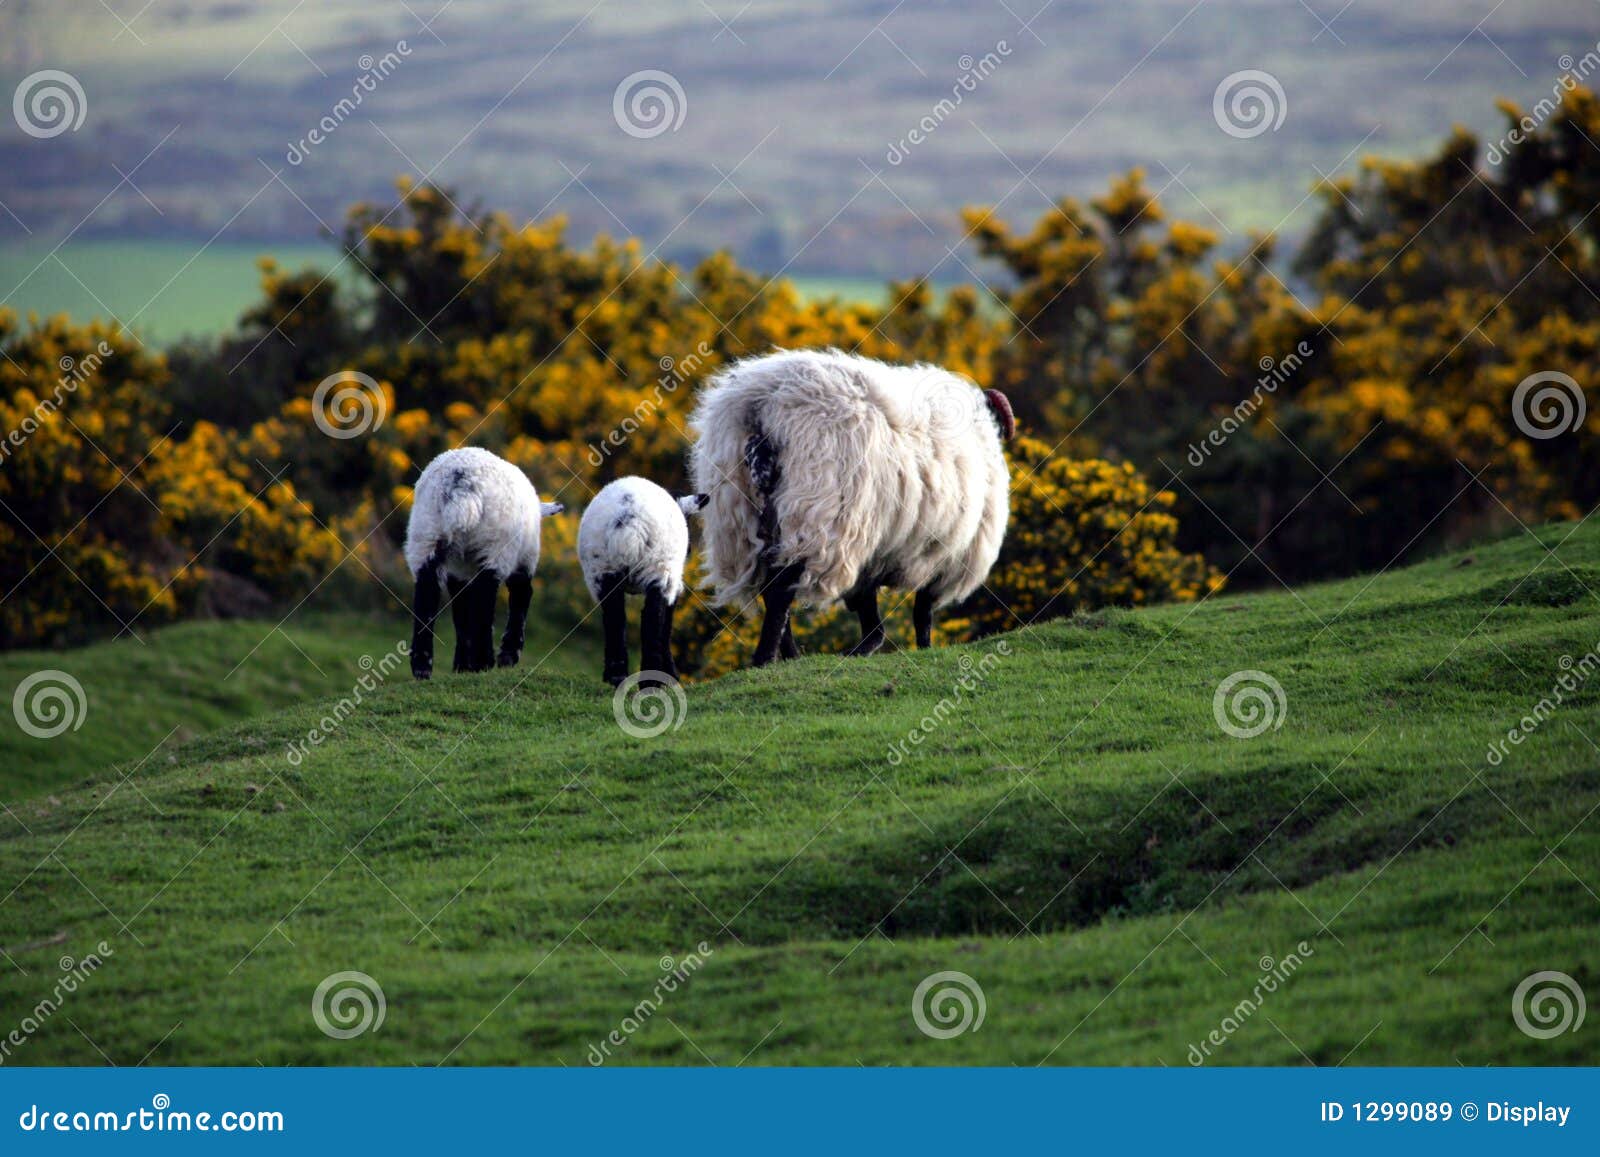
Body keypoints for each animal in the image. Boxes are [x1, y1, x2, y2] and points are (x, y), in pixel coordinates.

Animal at [404, 446, 563, 679]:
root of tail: (462, 485)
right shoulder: (524, 559)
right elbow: (521, 595)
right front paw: (508, 654)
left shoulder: (458, 571)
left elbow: (461, 611)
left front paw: (461, 666)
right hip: (495, 545)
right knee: (486, 595)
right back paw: (483, 661)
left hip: (426, 534)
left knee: (427, 592)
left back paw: (422, 666)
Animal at [577, 476, 706, 686]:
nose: (689, 551)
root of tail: (629, 519)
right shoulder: (673, 585)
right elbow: (666, 625)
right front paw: (672, 675)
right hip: (660, 568)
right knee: (652, 619)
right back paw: (652, 680)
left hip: (601, 568)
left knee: (615, 618)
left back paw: (616, 676)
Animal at [689, 348, 1014, 667]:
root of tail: (763, 411)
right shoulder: (948, 554)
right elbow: (922, 611)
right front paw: (922, 647)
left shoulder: (875, 550)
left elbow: (871, 604)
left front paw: (869, 645)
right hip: (815, 515)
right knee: (781, 590)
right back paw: (766, 658)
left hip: (744, 521)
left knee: (771, 588)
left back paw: (789, 657)